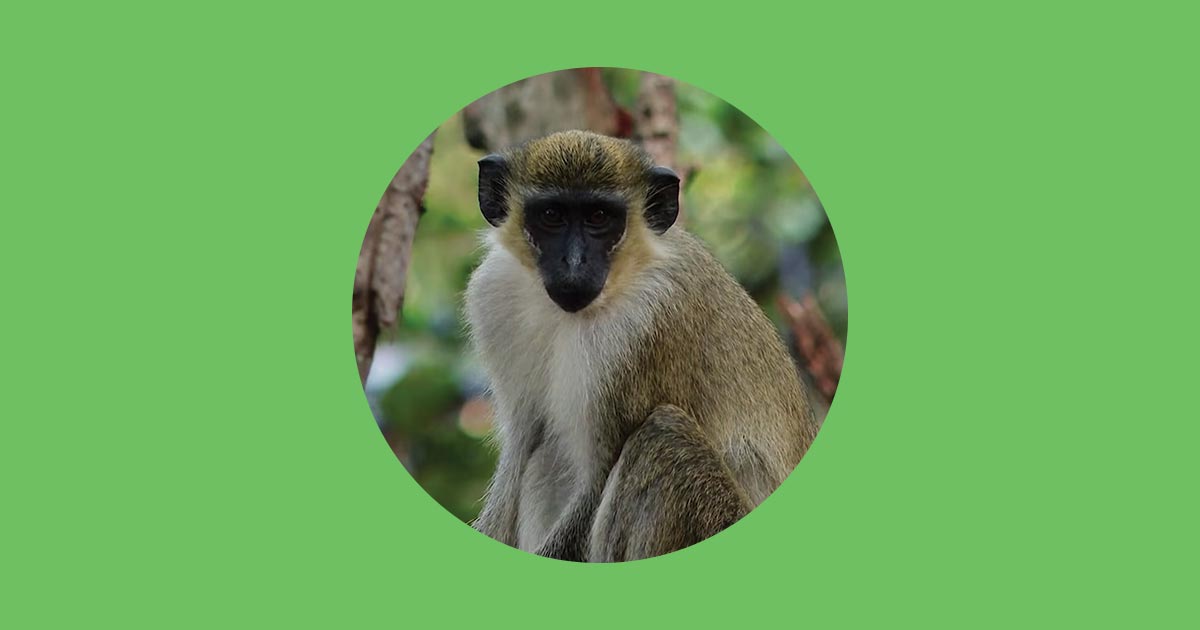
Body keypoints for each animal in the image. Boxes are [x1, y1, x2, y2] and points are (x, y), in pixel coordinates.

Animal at [465, 130, 818, 562]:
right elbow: (521, 447)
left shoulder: (643, 327)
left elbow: (598, 478)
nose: (574, 263)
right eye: (551, 216)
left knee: (662, 437)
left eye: (599, 217)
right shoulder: (494, 295)